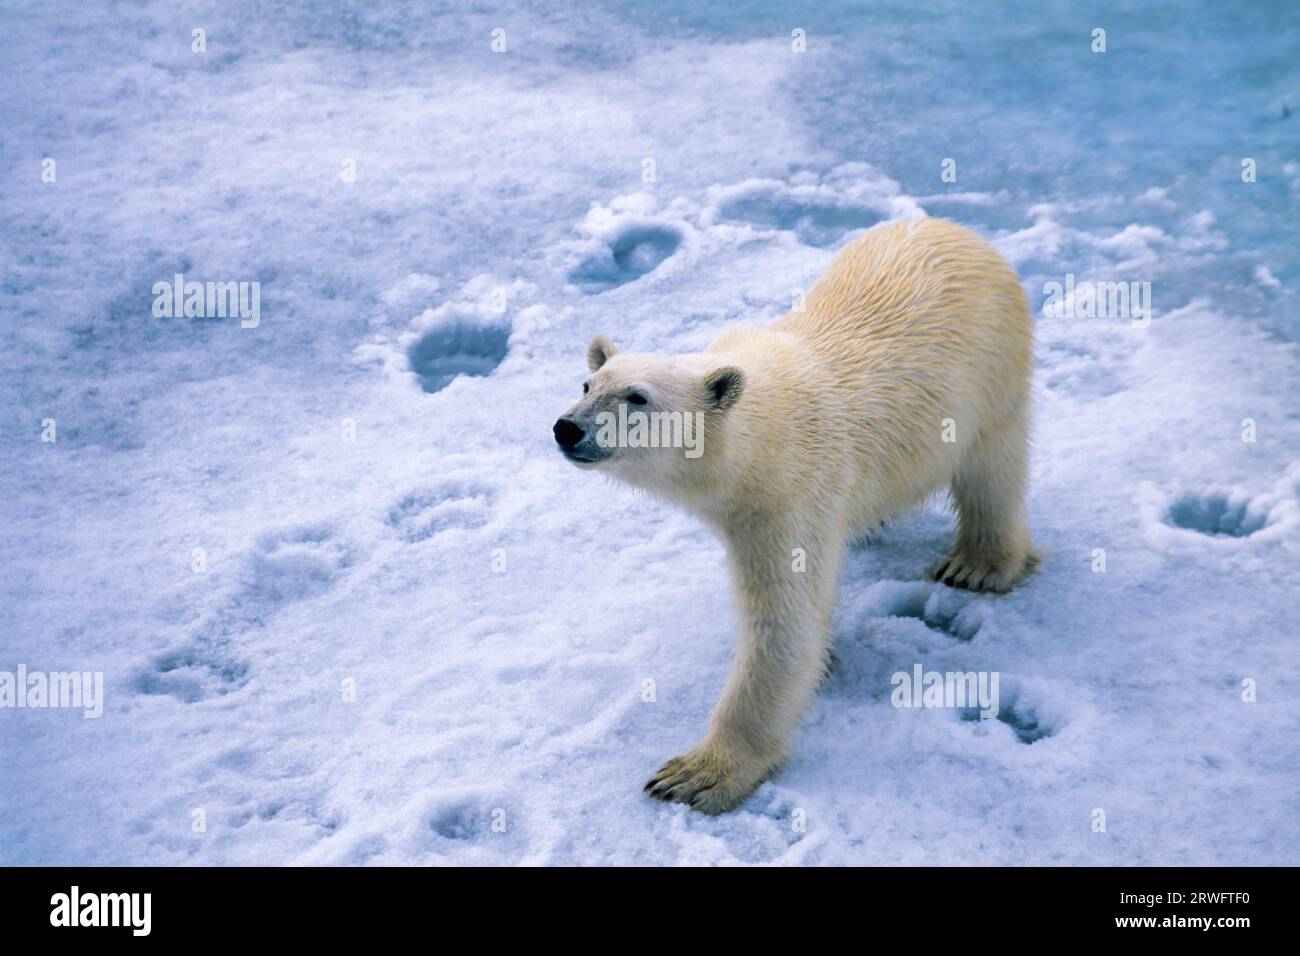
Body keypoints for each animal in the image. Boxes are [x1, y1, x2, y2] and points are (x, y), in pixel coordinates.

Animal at [553, 217, 1034, 814]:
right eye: (588, 385)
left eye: (637, 397)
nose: (567, 428)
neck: (755, 440)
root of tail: (955, 229)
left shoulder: (790, 493)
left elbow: (783, 622)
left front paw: (696, 774)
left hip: (993, 370)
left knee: (993, 465)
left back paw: (977, 564)